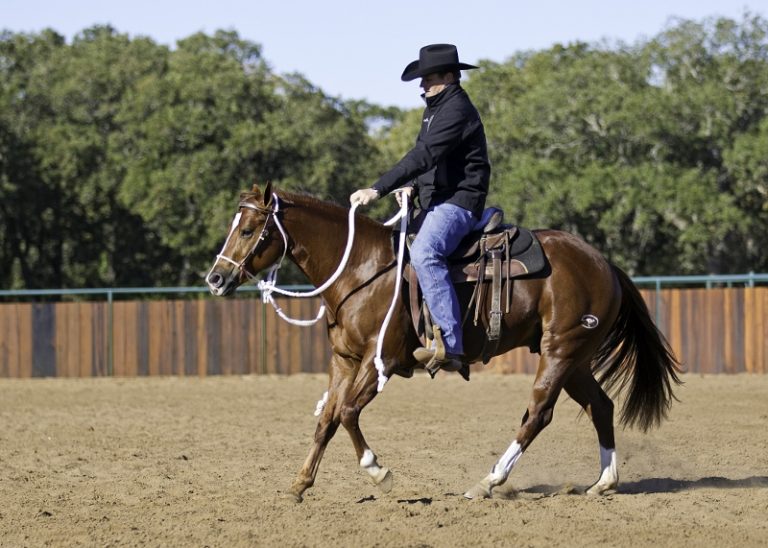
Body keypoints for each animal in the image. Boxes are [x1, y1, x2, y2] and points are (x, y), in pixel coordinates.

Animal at [205, 182, 682, 502]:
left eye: (248, 230)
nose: (215, 278)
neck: (363, 269)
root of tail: (604, 264)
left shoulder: (381, 360)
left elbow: (348, 412)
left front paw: (377, 471)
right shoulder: (343, 360)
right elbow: (328, 419)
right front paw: (300, 484)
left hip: (560, 352)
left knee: (538, 414)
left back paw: (489, 481)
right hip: (576, 359)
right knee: (600, 405)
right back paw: (604, 482)